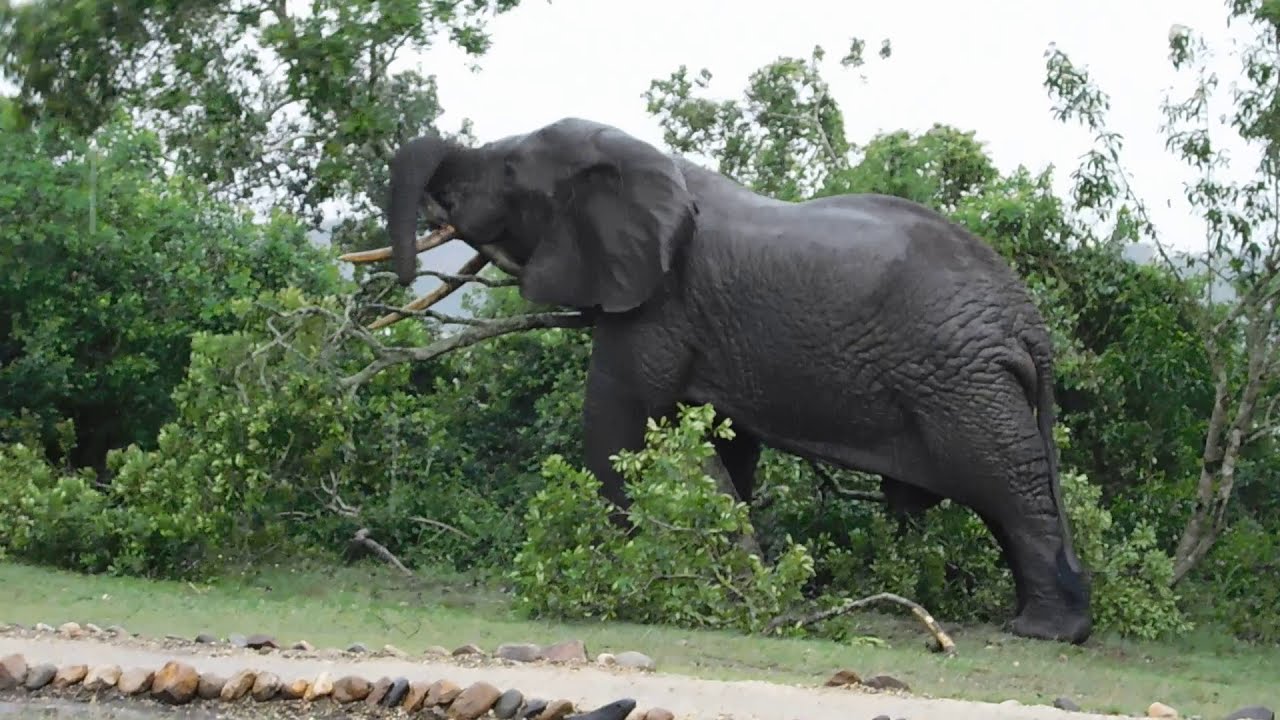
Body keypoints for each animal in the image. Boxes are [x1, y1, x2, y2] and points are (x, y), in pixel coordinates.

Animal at [380, 116, 1092, 644]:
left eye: (508, 173)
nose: (406, 278)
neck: (645, 159)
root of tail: (1030, 323)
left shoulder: (659, 301)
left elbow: (622, 424)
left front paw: (636, 576)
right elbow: (721, 448)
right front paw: (738, 581)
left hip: (962, 381)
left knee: (1003, 480)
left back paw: (1043, 633)